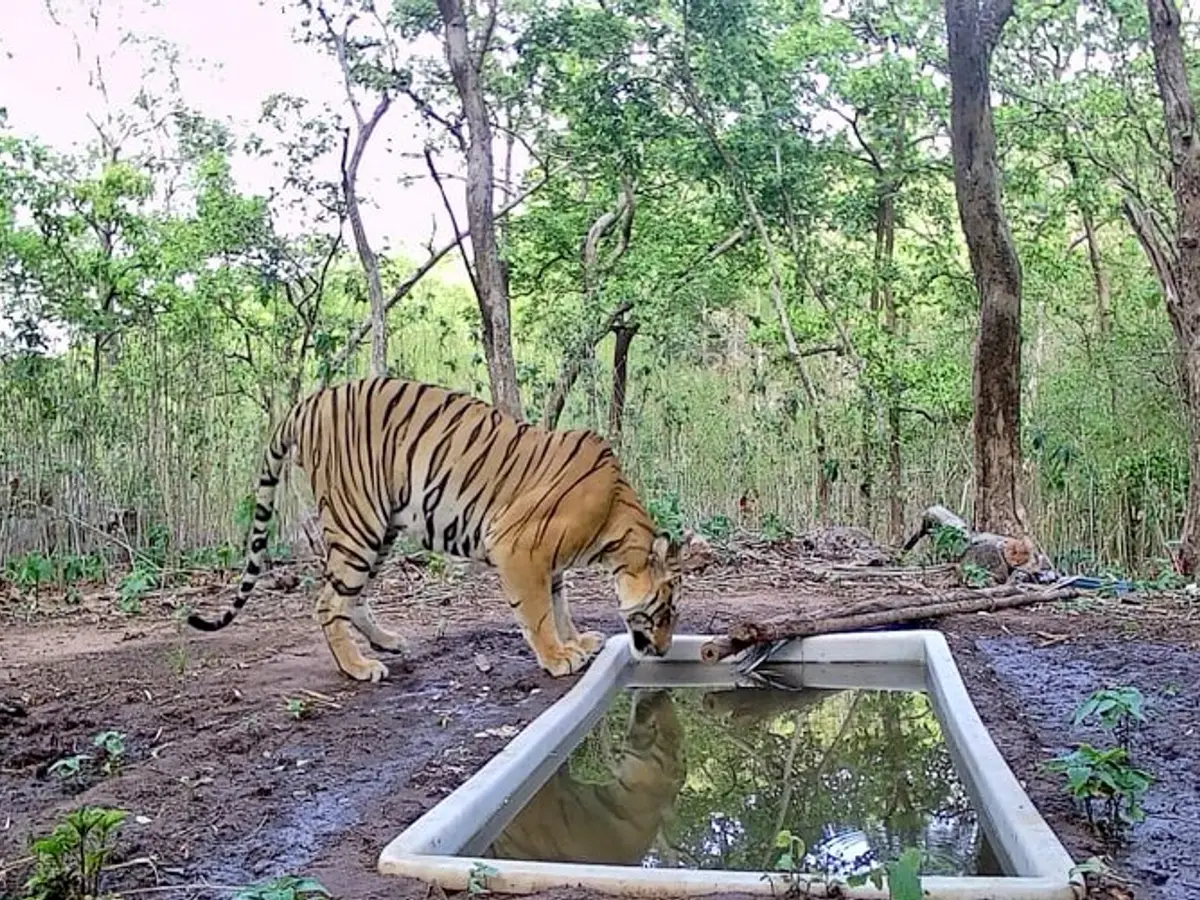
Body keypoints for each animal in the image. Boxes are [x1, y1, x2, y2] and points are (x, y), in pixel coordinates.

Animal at [186, 376, 703, 682]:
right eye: (666, 610)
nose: (663, 651)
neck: (615, 521)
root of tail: (308, 400)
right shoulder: (519, 547)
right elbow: (538, 612)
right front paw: (559, 657)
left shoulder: (549, 562)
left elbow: (559, 604)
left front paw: (576, 640)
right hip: (358, 522)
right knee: (328, 601)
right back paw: (358, 667)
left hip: (379, 530)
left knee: (351, 596)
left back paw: (387, 641)